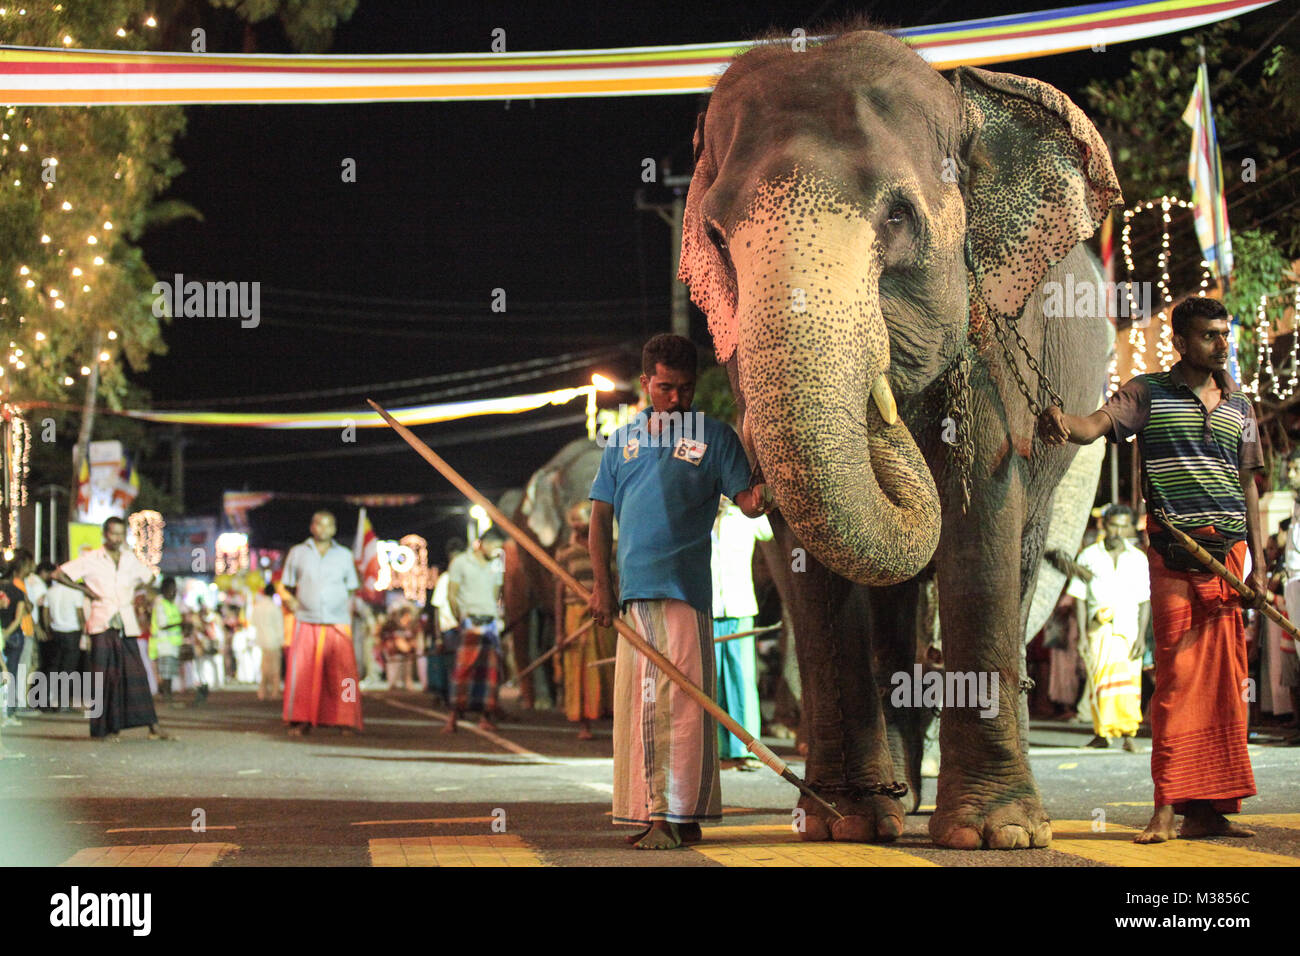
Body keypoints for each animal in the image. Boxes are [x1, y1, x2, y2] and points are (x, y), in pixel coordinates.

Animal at [678, 27, 1120, 848]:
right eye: (718, 237)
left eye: (897, 218)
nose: (884, 404)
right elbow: (810, 552)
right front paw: (845, 822)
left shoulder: (992, 345)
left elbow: (980, 523)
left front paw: (996, 834)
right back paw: (896, 800)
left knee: (1021, 560)